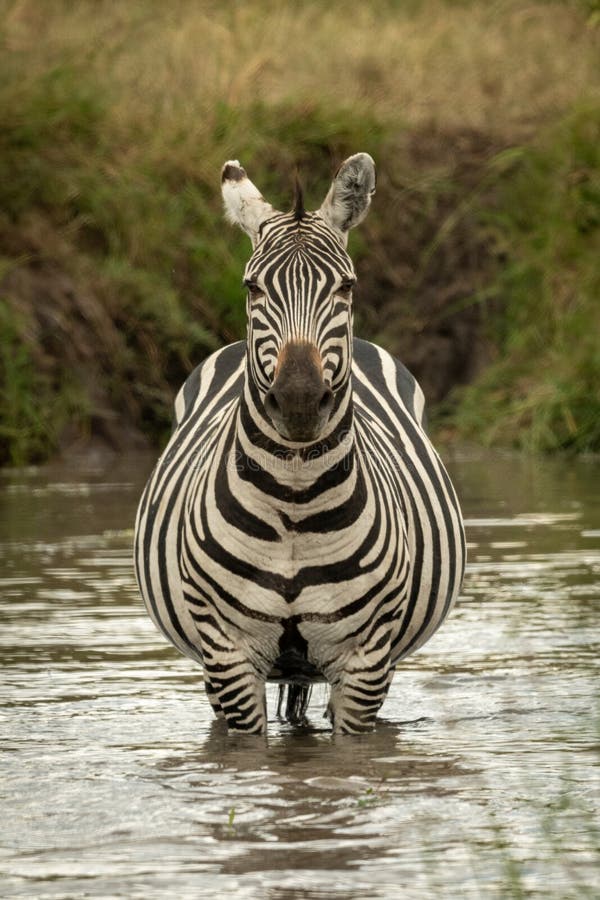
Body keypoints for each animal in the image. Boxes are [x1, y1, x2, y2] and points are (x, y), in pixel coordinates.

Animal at [134, 152, 465, 734]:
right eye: (252, 289)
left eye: (346, 287)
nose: (299, 401)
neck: (294, 499)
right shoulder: (229, 656)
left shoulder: (365, 663)